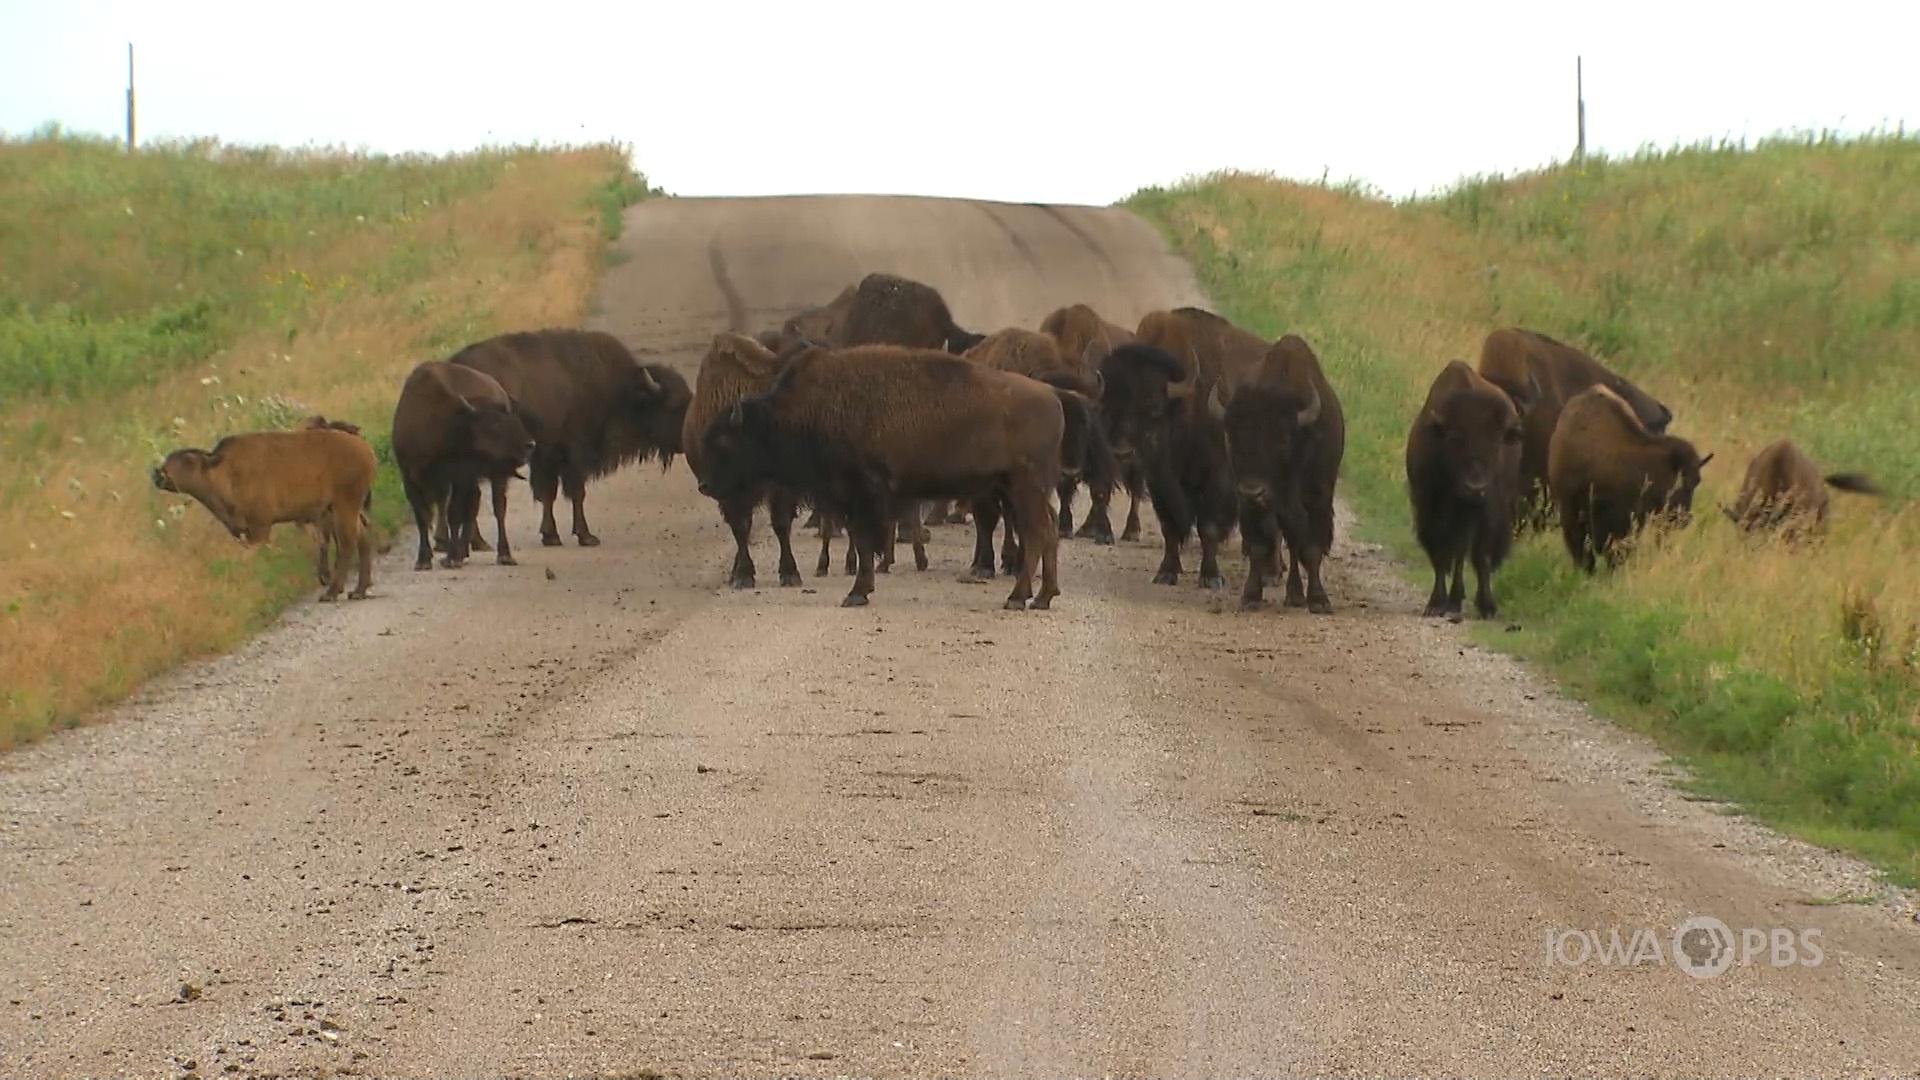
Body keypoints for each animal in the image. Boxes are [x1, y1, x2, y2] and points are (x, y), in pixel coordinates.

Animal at [392, 360, 536, 571]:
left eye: (512, 419)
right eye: (494, 424)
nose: (530, 445)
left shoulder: (458, 478)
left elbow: (454, 514)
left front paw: (451, 558)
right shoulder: (409, 477)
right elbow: (423, 517)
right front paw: (423, 560)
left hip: (496, 476)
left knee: (498, 508)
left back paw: (503, 555)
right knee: (474, 503)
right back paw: (465, 550)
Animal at [449, 329, 690, 548]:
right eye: (673, 406)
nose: (683, 443)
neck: (621, 389)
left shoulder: (547, 456)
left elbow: (549, 494)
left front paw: (551, 536)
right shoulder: (572, 453)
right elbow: (575, 493)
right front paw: (586, 536)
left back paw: (478, 543)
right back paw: (478, 542)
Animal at [1222, 334, 1345, 613]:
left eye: (1283, 440)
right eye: (1233, 437)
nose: (1253, 491)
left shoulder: (1318, 499)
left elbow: (1311, 548)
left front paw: (1319, 600)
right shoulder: (1250, 506)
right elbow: (1258, 546)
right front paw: (1251, 596)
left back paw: (1297, 595)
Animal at [1406, 361, 1524, 618]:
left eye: (1497, 443)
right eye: (1454, 439)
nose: (1475, 488)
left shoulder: (1488, 511)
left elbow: (1481, 555)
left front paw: (1487, 607)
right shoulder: (1431, 508)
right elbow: (1441, 553)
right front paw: (1436, 603)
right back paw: (1453, 600)